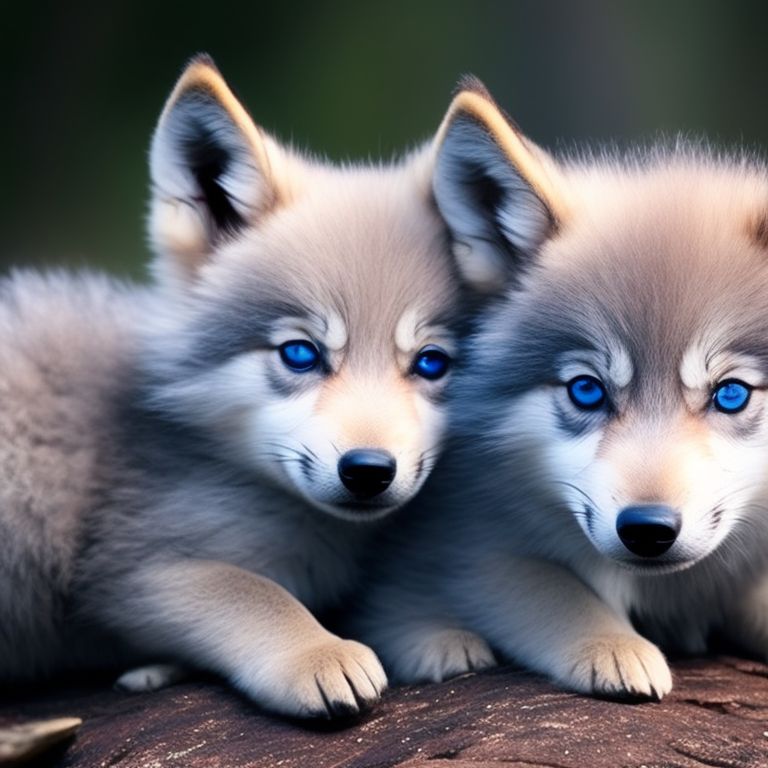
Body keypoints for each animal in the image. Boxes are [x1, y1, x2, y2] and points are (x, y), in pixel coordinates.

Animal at [0, 57, 495, 718]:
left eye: (432, 363)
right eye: (300, 354)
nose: (368, 471)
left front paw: (432, 631)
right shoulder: (130, 565)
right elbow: (250, 592)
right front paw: (317, 653)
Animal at [352, 77, 768, 701]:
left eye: (732, 394)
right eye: (587, 391)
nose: (648, 531)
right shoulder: (467, 540)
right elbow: (546, 587)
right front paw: (612, 644)